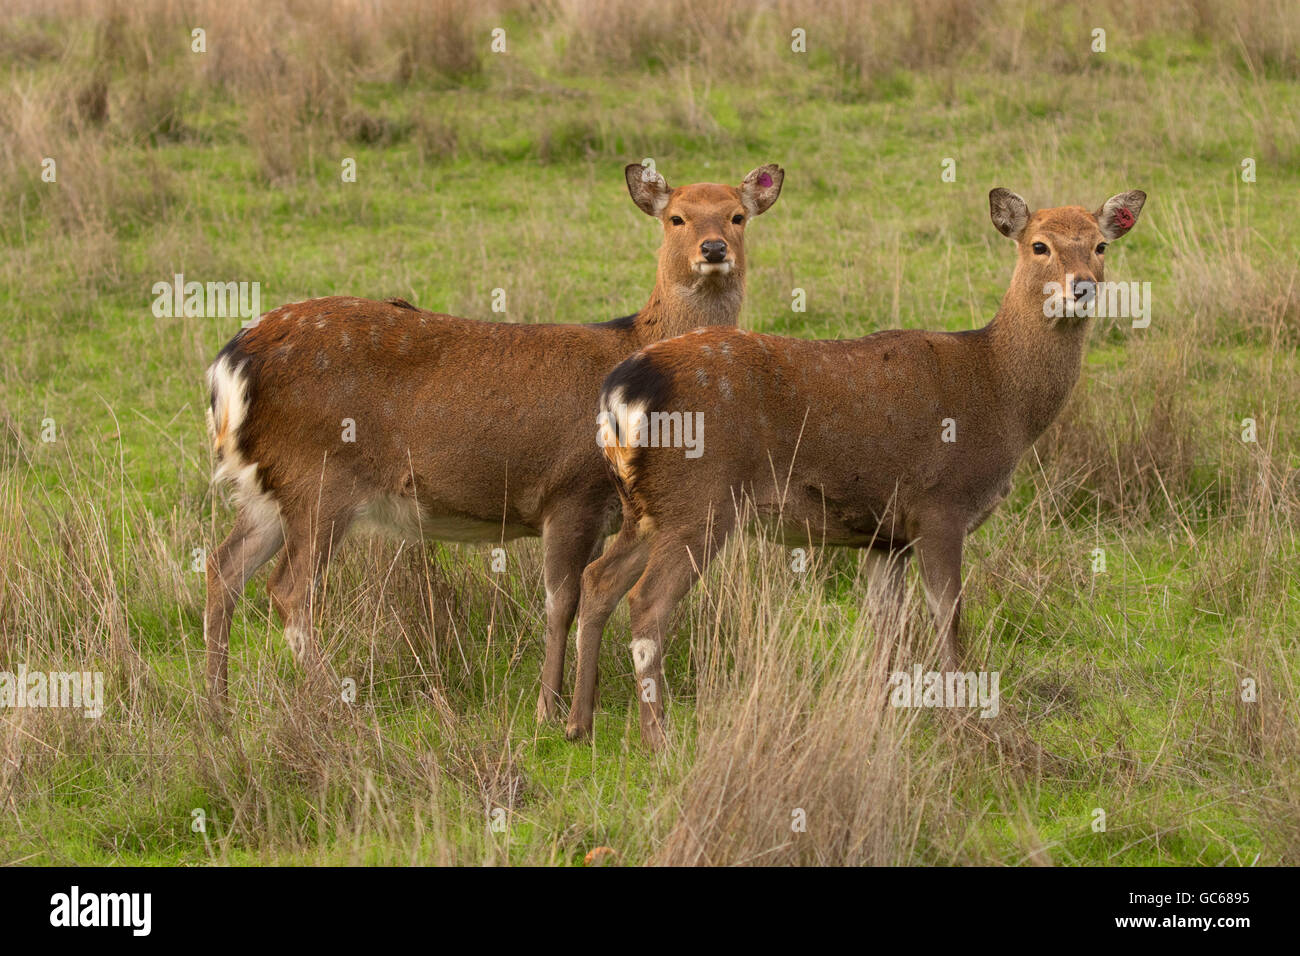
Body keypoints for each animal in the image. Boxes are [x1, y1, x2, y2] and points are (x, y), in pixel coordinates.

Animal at [203, 162, 784, 720]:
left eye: (737, 216)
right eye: (676, 217)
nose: (714, 249)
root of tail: (230, 366)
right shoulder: (570, 491)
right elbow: (562, 601)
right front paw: (547, 709)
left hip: (268, 486)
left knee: (222, 566)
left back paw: (218, 710)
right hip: (320, 477)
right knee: (288, 591)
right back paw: (335, 705)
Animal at [568, 187, 1146, 748]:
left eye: (1100, 245)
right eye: (1039, 246)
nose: (1082, 287)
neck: (1001, 399)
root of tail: (622, 390)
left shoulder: (885, 537)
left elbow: (885, 630)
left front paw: (879, 715)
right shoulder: (940, 506)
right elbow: (948, 617)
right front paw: (968, 725)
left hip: (646, 507)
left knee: (597, 579)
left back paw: (578, 724)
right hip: (700, 499)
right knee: (647, 603)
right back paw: (658, 739)